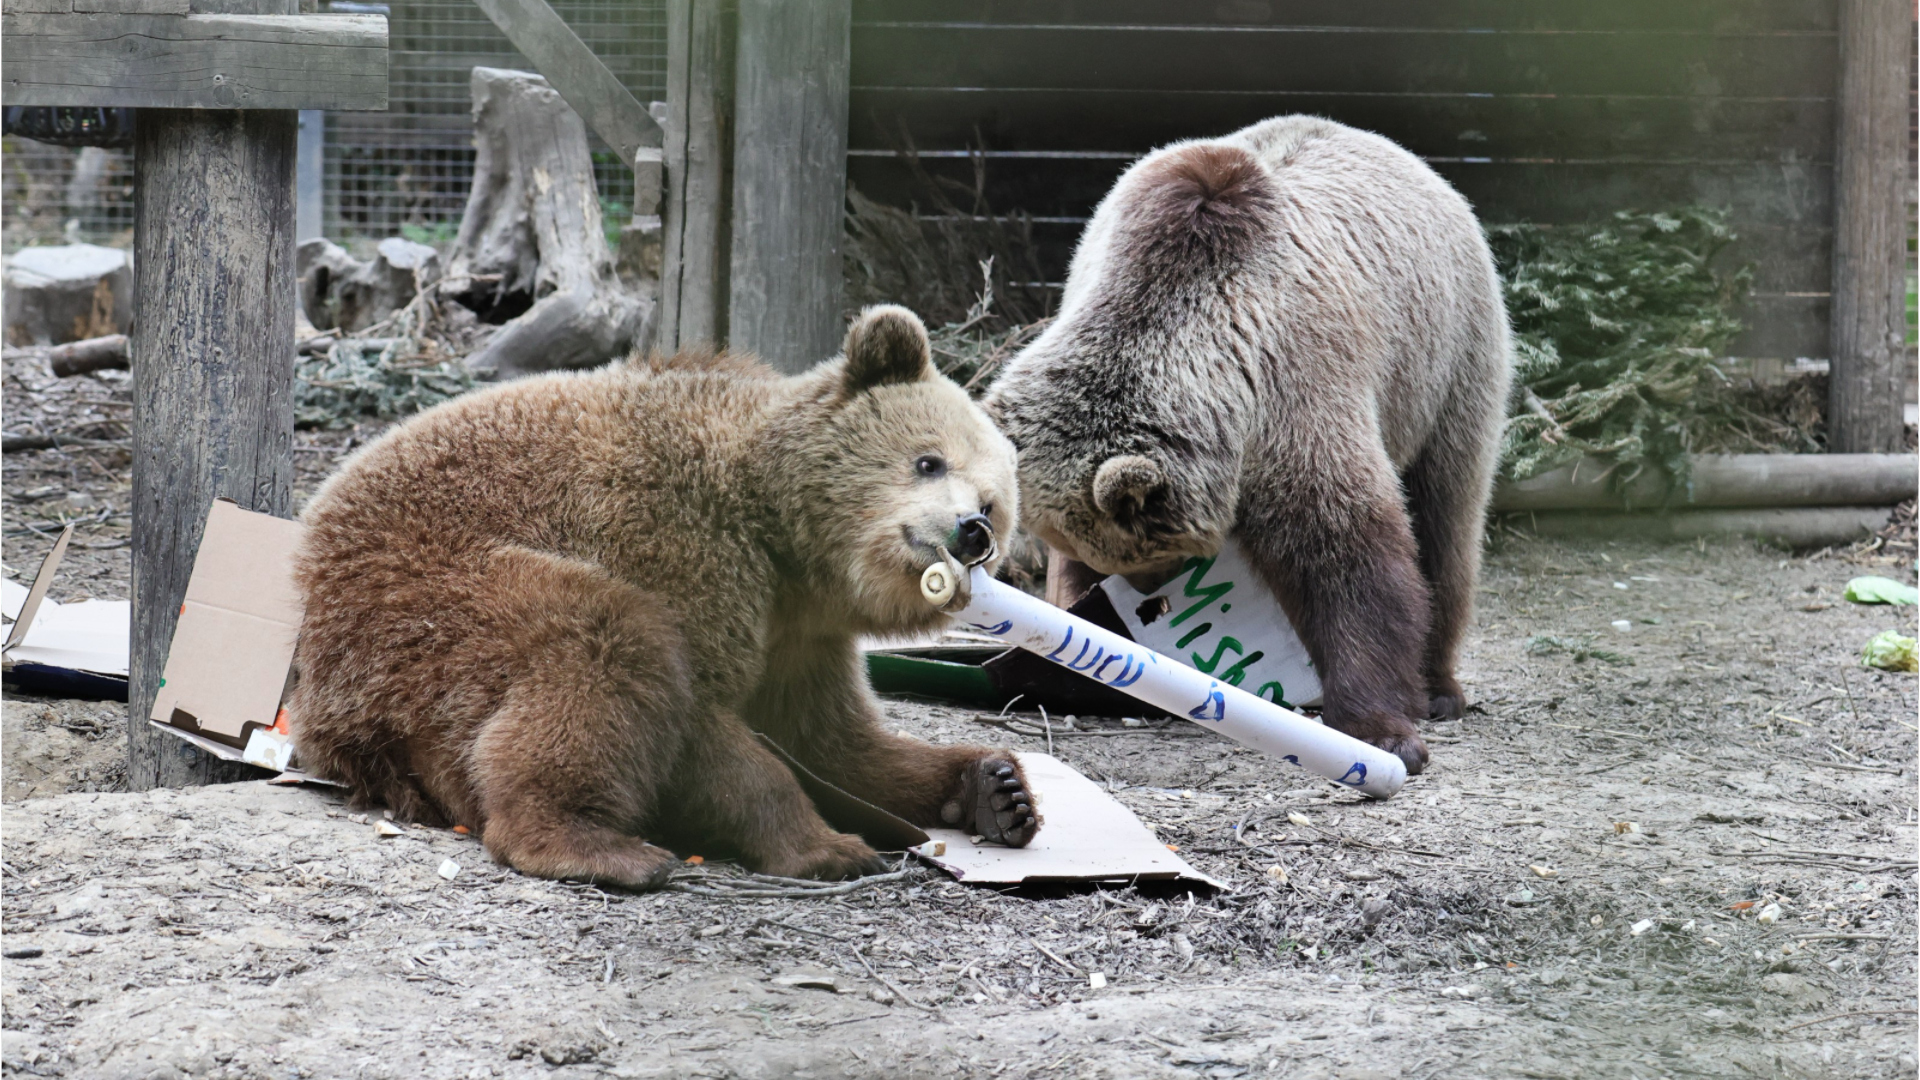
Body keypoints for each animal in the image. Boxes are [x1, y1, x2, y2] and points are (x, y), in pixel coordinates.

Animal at [288, 306, 1040, 888]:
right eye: (928, 460)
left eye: (993, 504)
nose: (969, 531)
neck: (785, 544)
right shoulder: (676, 538)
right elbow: (706, 721)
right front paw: (829, 846)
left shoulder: (801, 637)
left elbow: (834, 739)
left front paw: (995, 788)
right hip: (425, 595)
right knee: (603, 644)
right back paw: (595, 844)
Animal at [984, 116, 1513, 775]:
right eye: (1109, 558)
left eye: (1147, 554)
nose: (1146, 599)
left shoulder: (1295, 385)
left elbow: (1350, 559)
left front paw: (1382, 731)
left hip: (1447, 361)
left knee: (1446, 515)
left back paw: (1440, 688)